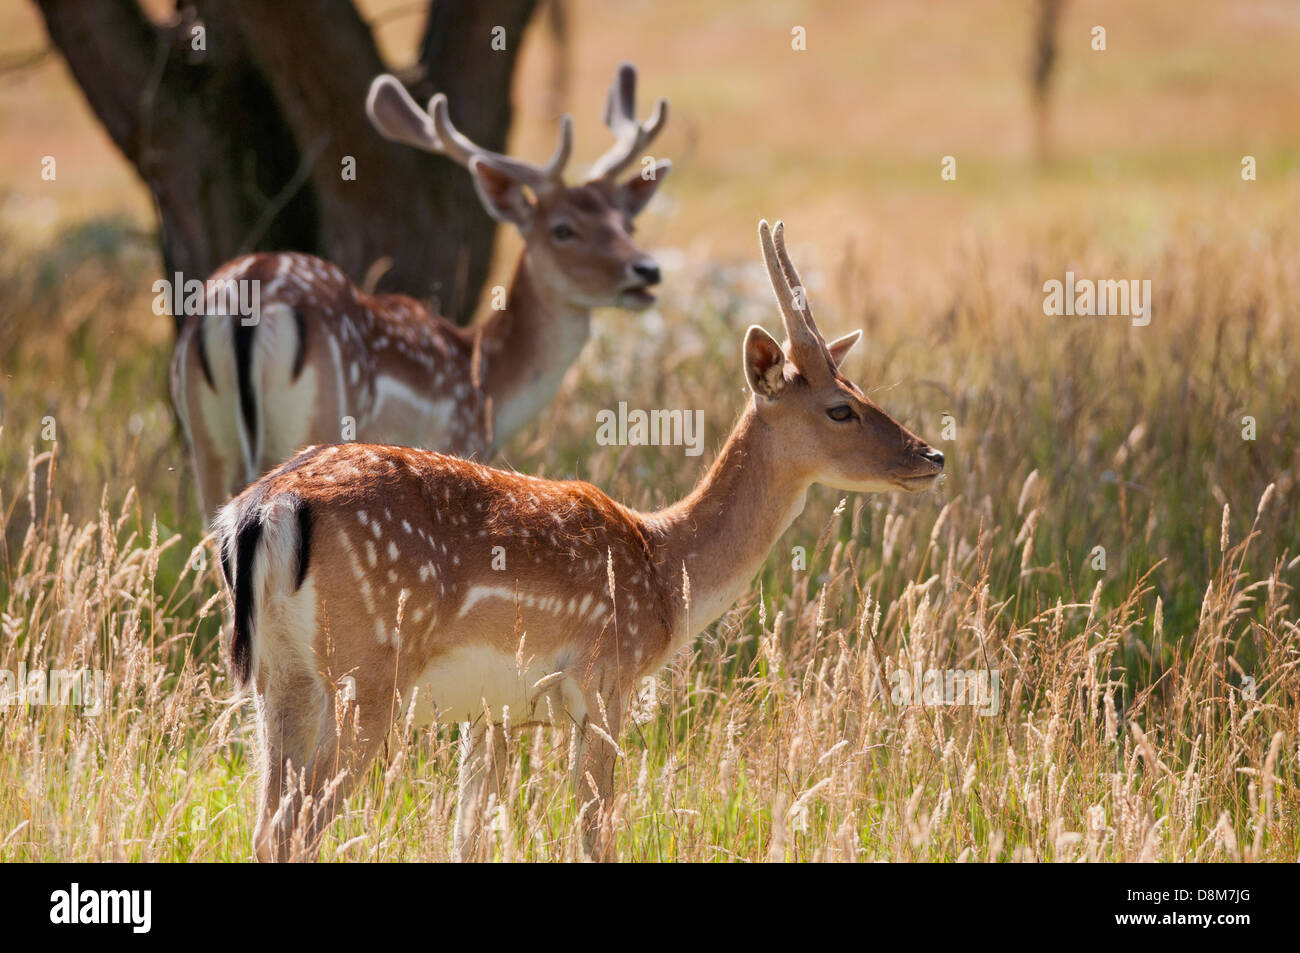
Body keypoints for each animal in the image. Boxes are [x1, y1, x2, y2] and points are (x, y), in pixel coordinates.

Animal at [171, 63, 672, 522]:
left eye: (627, 224)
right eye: (563, 229)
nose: (647, 270)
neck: (485, 383)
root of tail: (248, 297)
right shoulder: (455, 440)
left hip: (206, 440)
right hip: (316, 415)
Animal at [214, 221, 945, 862]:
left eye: (862, 389)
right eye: (840, 409)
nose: (931, 454)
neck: (666, 573)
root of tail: (268, 507)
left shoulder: (495, 710)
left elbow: (468, 836)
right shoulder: (605, 679)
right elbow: (597, 832)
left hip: (277, 672)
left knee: (266, 822)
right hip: (370, 666)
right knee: (300, 822)